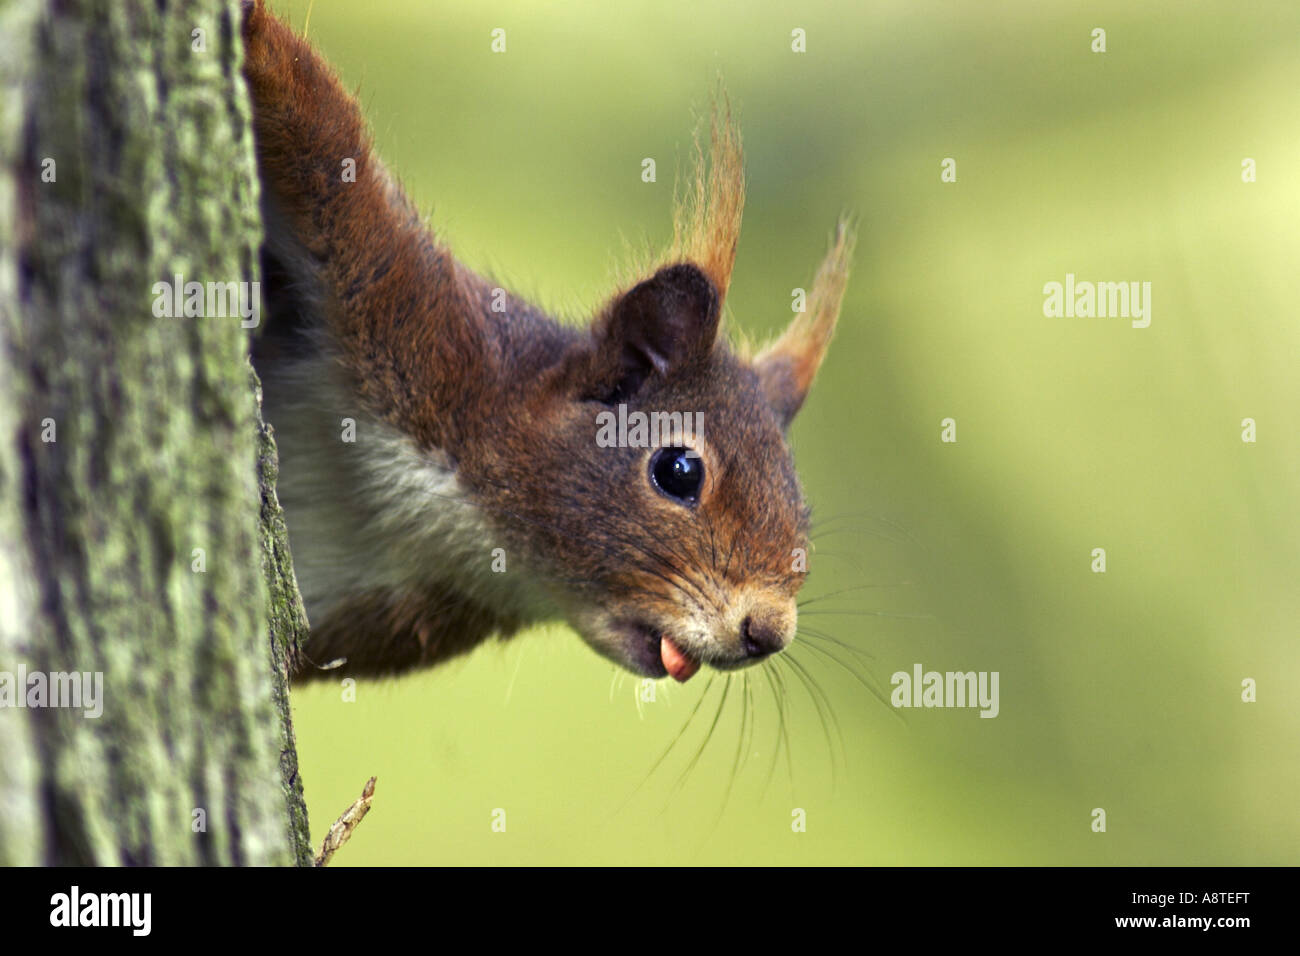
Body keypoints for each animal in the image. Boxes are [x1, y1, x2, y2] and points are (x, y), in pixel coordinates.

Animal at [239, 1, 854, 684]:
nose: (767, 633)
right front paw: (251, 30)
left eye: (802, 510)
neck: (468, 525)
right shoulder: (411, 315)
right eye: (678, 471)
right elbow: (321, 131)